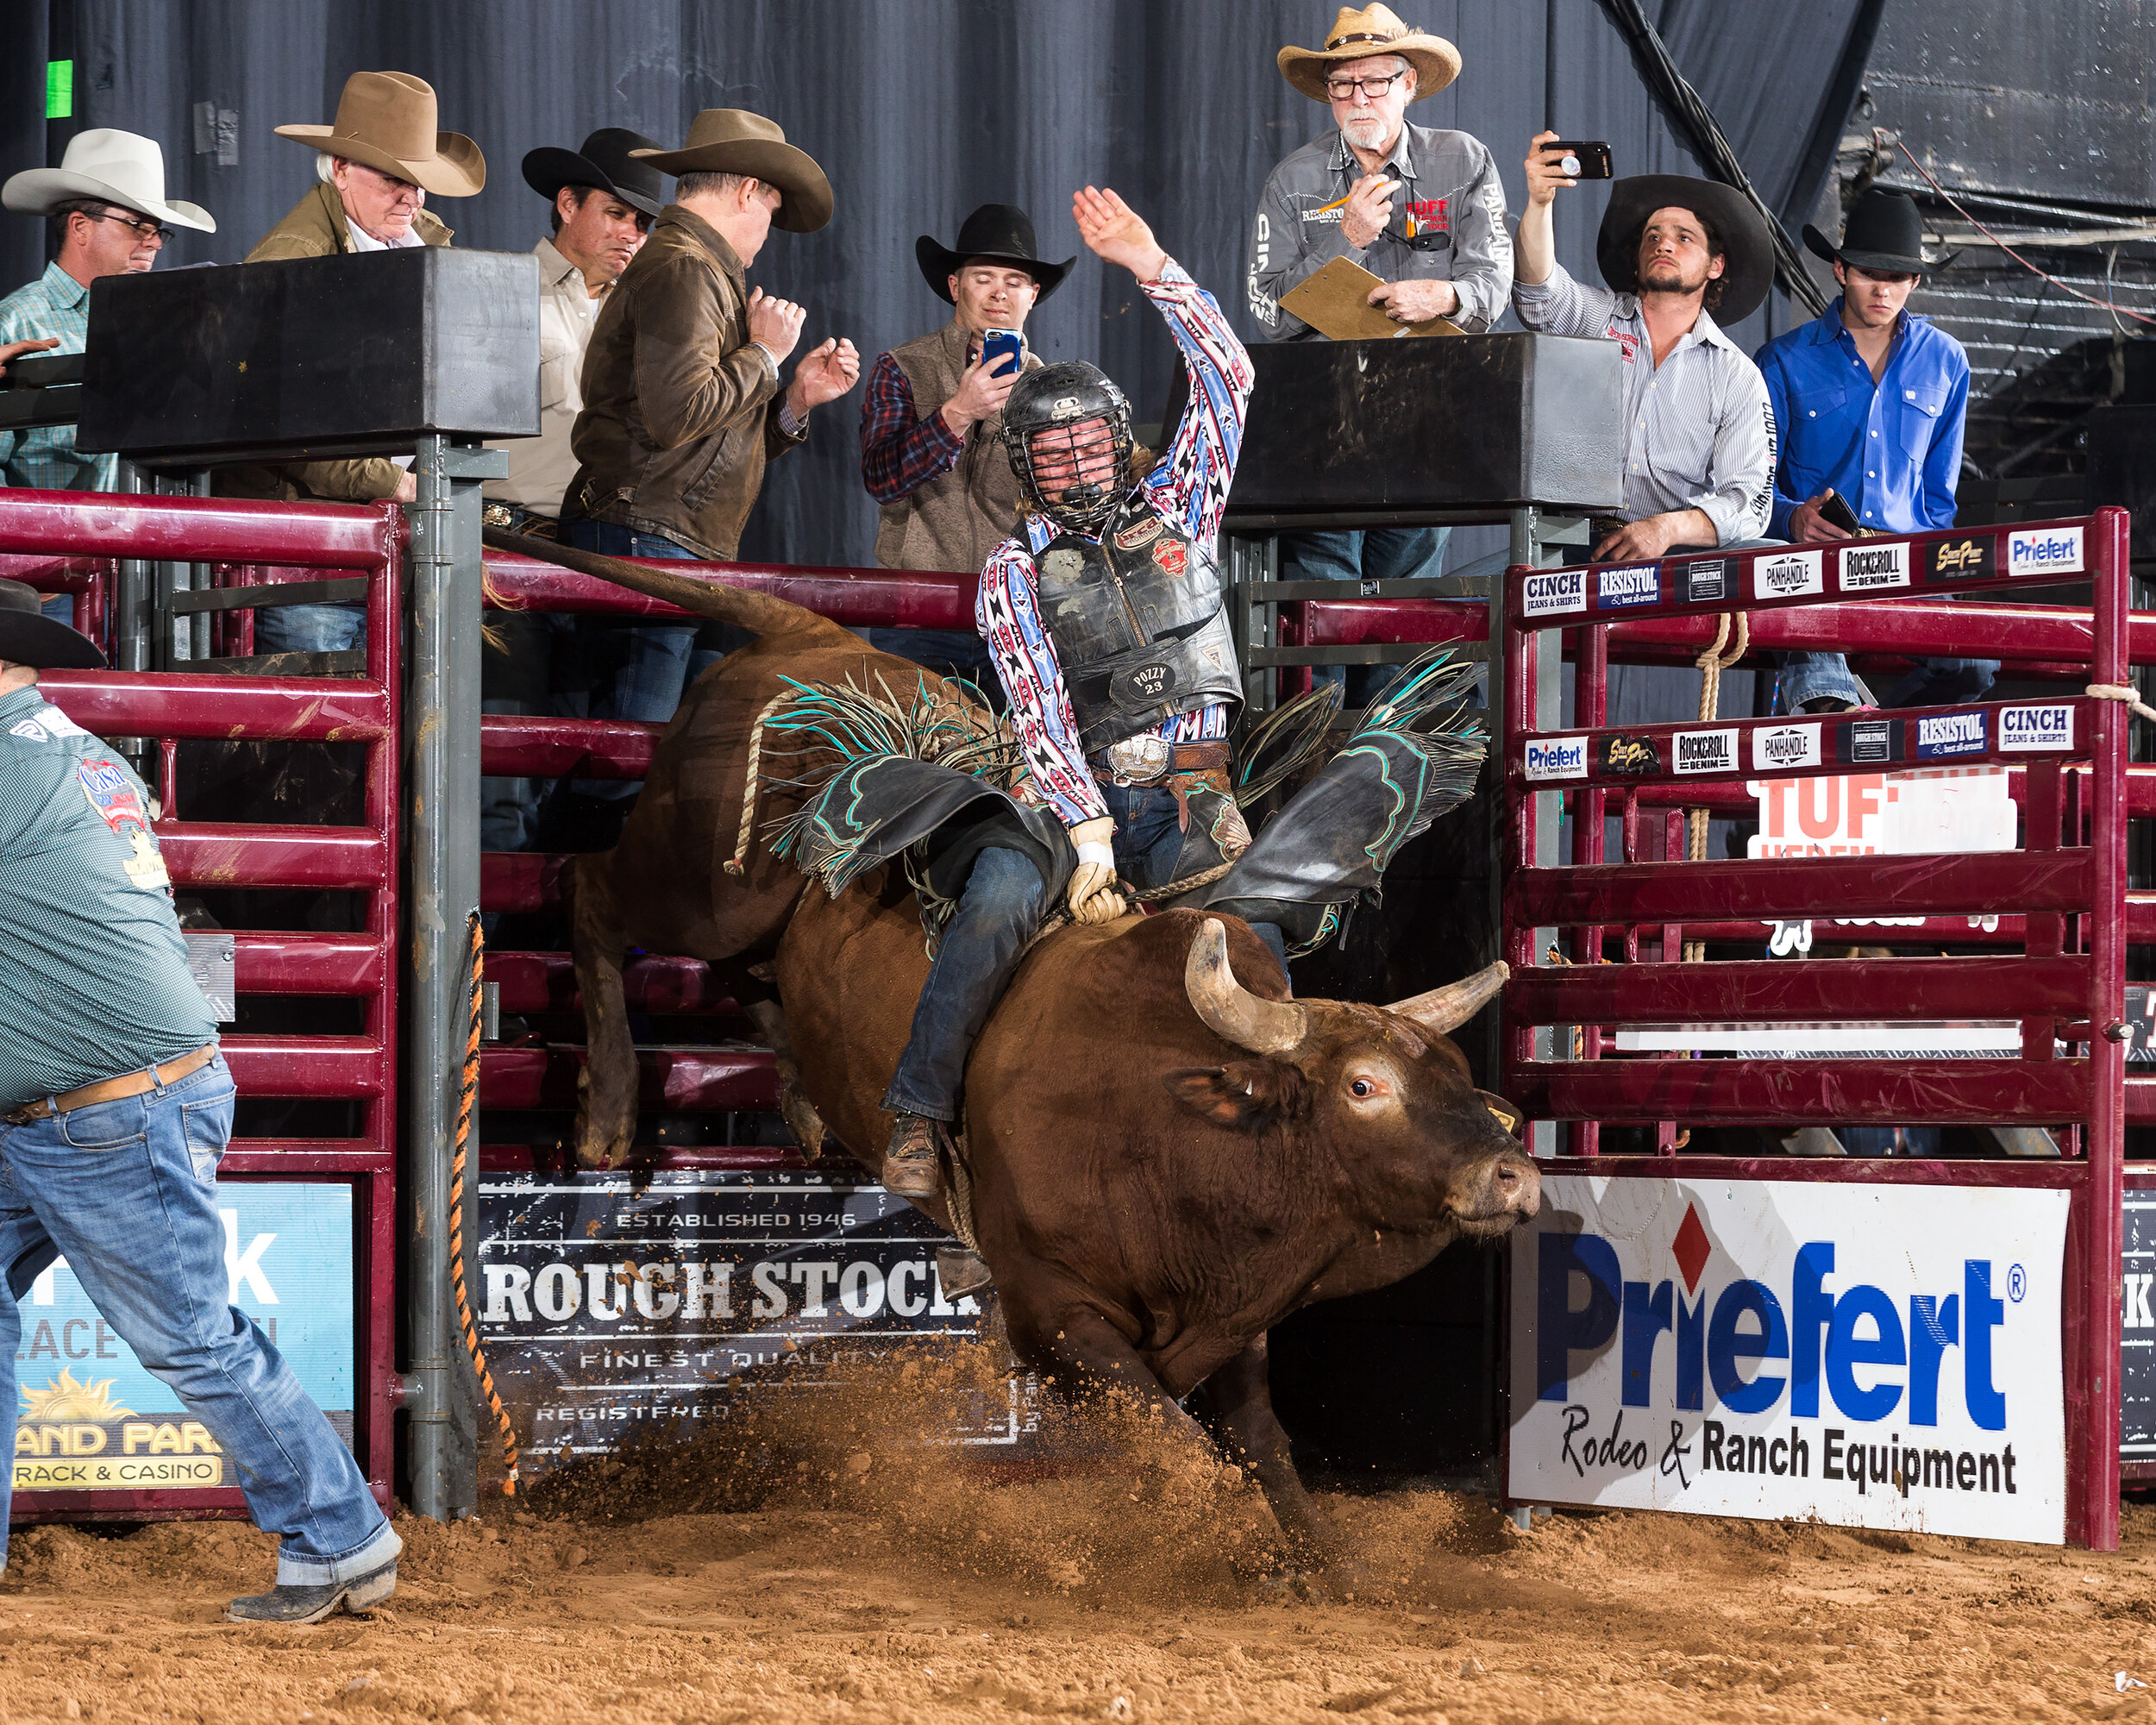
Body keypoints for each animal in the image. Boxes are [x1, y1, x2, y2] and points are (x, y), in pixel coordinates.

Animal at [490, 529, 1540, 1562]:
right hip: (700, 883)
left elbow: (1265, 1448)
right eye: (1364, 1086)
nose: (1514, 1173)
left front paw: (1320, 1563)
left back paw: (794, 1093)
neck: (1168, 1123)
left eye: (1463, 1080)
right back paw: (610, 1107)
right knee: (591, 888)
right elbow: (1181, 1449)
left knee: (750, 983)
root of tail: (804, 632)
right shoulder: (1055, 1315)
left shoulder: (1235, 1314)